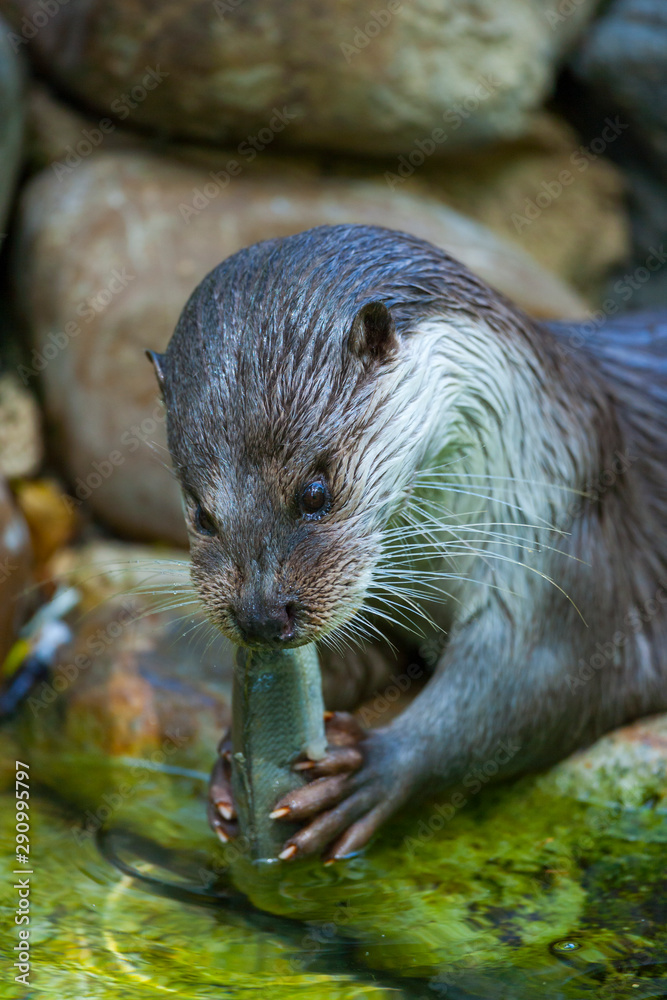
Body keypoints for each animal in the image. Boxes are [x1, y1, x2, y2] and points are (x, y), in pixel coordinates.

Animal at [149, 225, 667, 861]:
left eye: (316, 491)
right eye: (200, 513)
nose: (261, 616)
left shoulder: (558, 539)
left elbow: (535, 688)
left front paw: (375, 769)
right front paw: (228, 761)